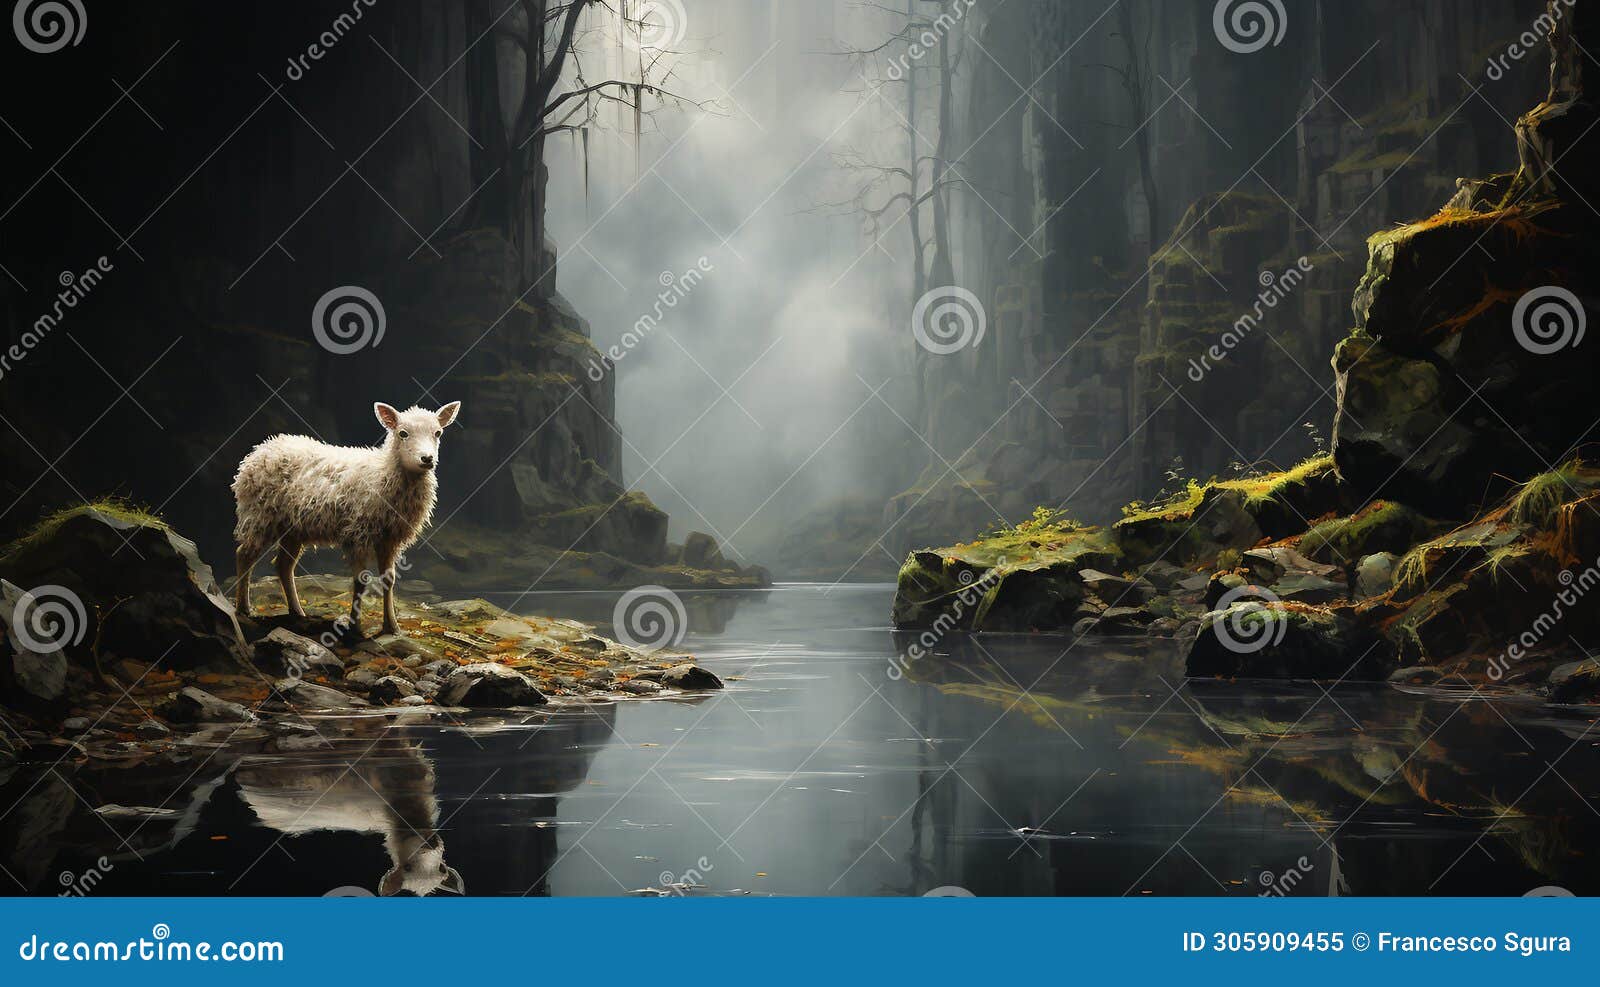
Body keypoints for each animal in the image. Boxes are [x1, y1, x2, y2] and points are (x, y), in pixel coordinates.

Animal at [231, 401, 461, 637]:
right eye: (403, 433)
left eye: (438, 433)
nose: (427, 459)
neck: (384, 471)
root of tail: (262, 448)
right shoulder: (357, 534)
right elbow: (361, 582)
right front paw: (355, 627)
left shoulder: (390, 538)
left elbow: (389, 580)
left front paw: (392, 627)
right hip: (259, 515)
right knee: (244, 554)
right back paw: (244, 608)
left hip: (293, 528)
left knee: (284, 566)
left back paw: (297, 611)